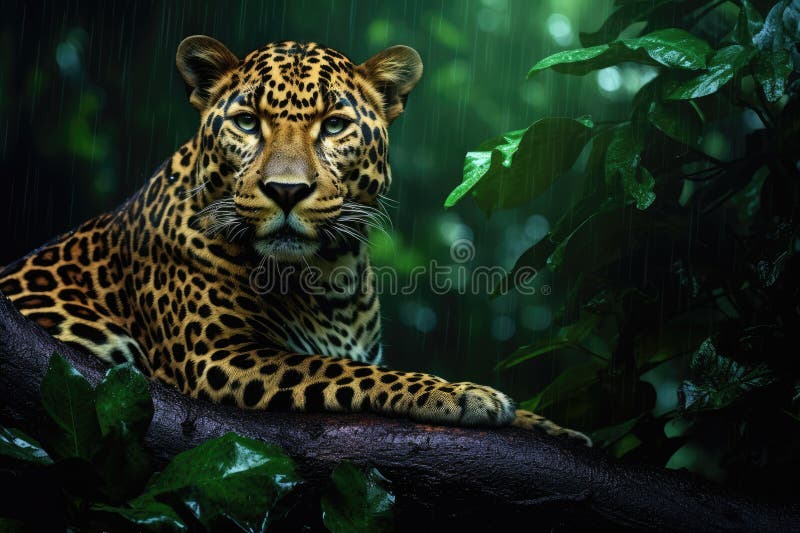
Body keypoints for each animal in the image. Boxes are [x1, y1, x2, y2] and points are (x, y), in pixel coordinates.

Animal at [0, 35, 590, 445]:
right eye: (245, 123)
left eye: (333, 126)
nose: (286, 191)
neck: (330, 273)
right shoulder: (219, 354)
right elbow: (342, 370)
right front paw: (461, 393)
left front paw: (553, 427)